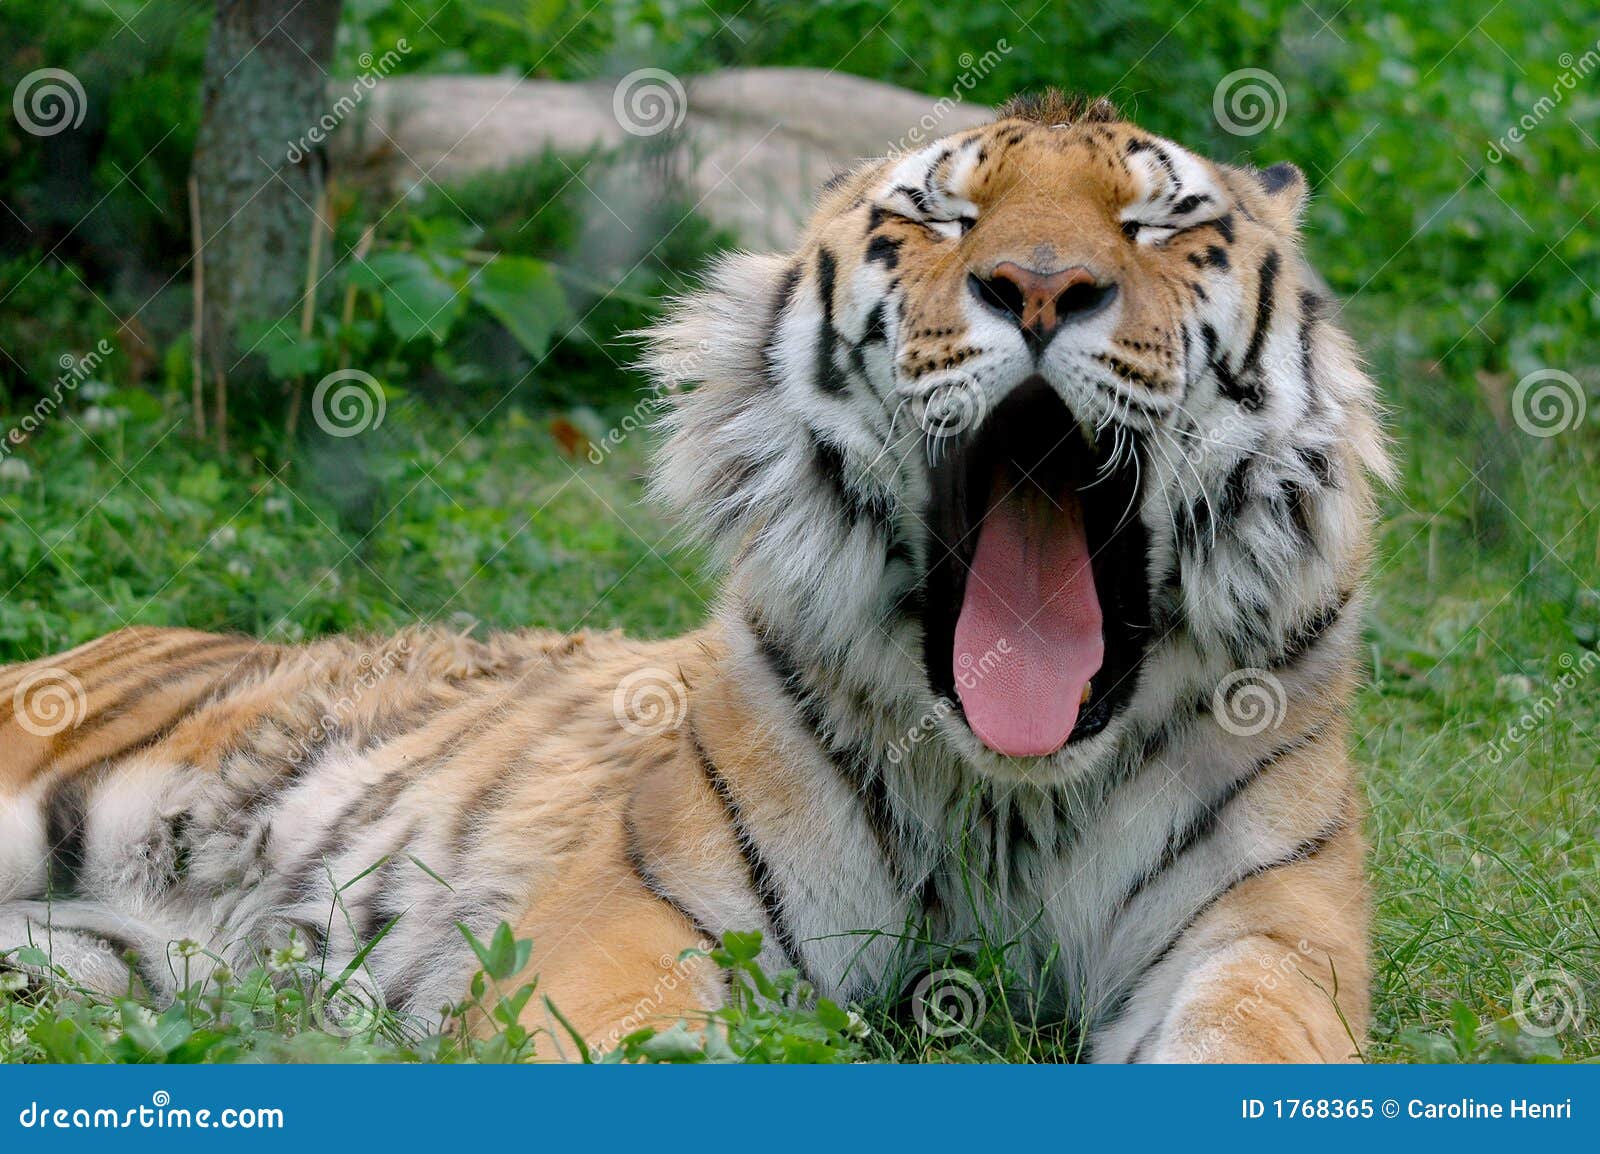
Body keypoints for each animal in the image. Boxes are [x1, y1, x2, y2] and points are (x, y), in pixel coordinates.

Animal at [1, 91, 1390, 1062]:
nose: (1040, 286)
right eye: (941, 217)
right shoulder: (642, 911)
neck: (1011, 788)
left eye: (1160, 224)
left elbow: (1252, 1037)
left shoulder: (1267, 928)